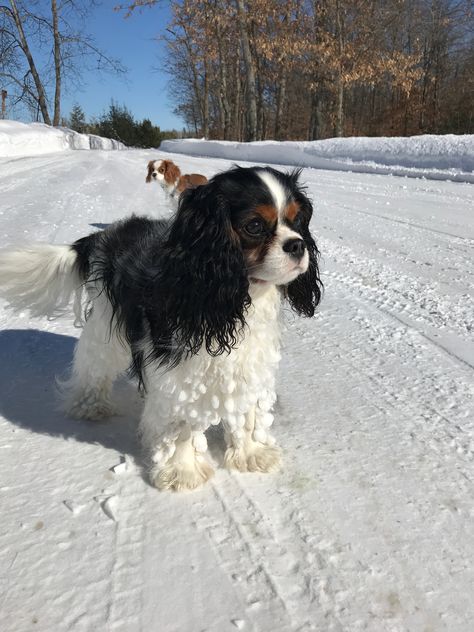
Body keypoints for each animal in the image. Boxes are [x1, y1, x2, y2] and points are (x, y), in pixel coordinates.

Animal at [0, 165, 322, 492]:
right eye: (254, 225)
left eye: (297, 219)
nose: (298, 244)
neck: (236, 294)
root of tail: (106, 234)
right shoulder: (180, 366)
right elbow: (180, 420)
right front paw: (182, 471)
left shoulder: (248, 359)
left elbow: (247, 409)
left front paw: (252, 454)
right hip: (106, 322)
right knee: (94, 364)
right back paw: (90, 405)